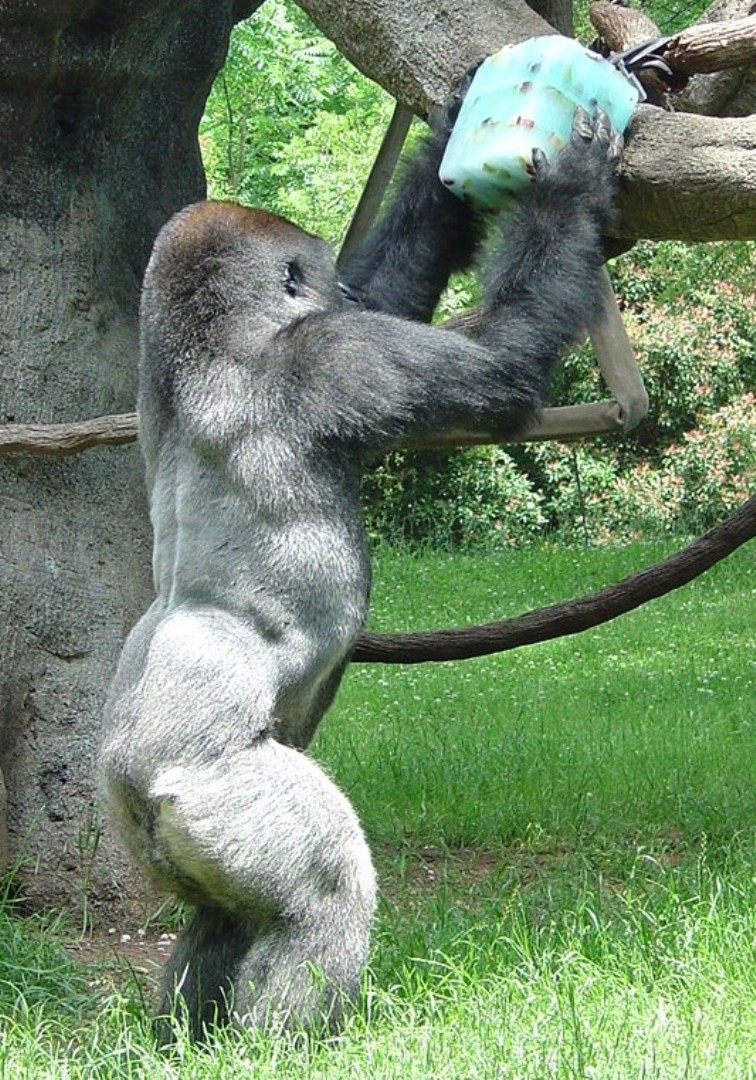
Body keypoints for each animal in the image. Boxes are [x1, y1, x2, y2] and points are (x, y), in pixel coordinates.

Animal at [98, 95, 622, 1044]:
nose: (334, 287)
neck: (202, 345)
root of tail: (126, 777)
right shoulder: (334, 356)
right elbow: (502, 360)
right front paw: (571, 182)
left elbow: (394, 287)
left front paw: (450, 134)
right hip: (203, 786)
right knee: (327, 885)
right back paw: (289, 1044)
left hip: (160, 830)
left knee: (226, 910)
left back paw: (190, 1037)